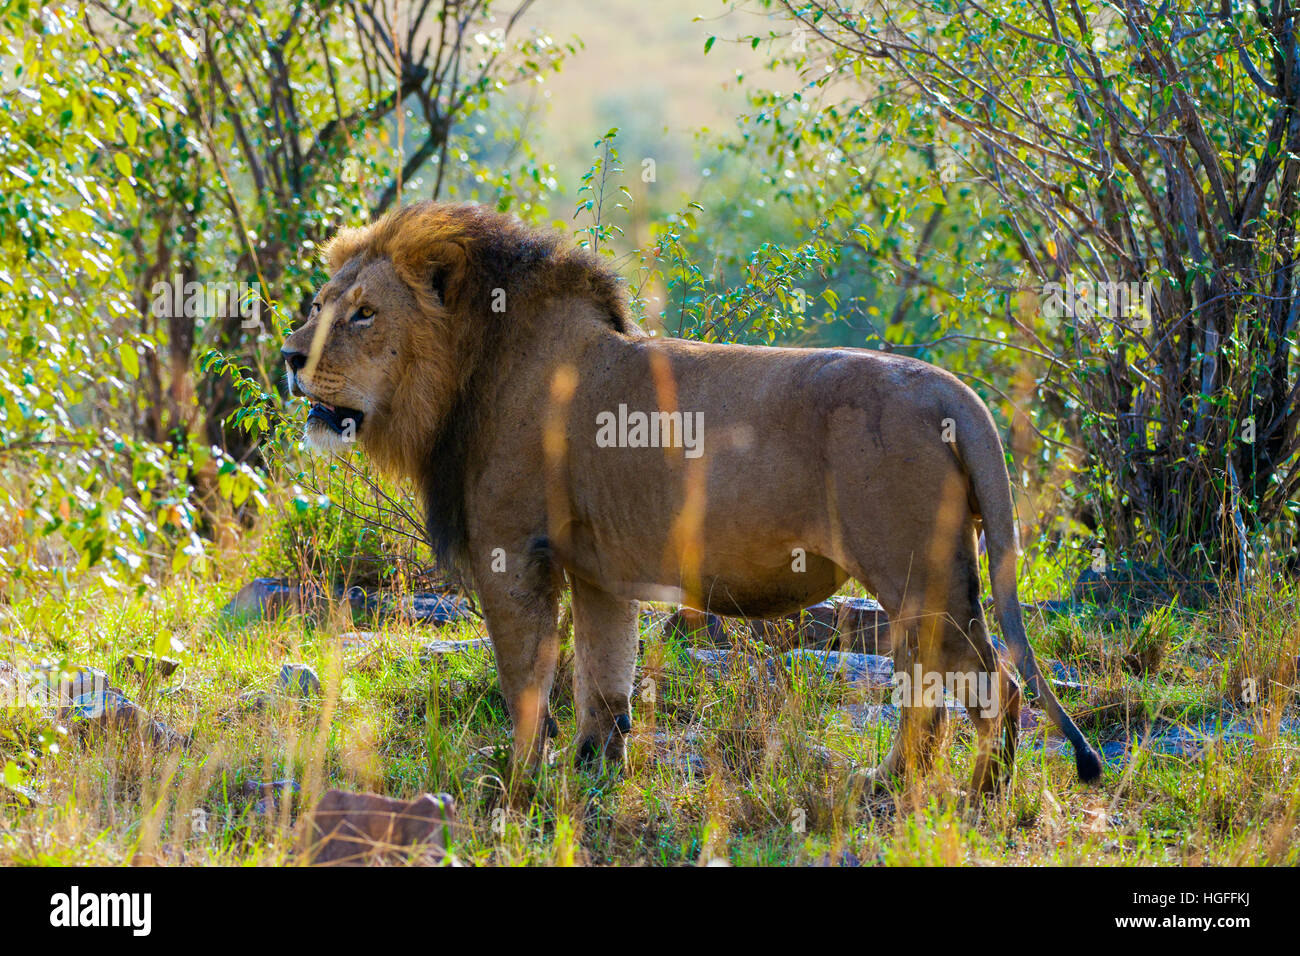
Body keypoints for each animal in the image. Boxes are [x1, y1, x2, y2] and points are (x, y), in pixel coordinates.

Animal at [281, 200, 1103, 793]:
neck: (467, 373)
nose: (289, 356)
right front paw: (591, 771)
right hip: (936, 577)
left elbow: (527, 682)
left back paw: (962, 792)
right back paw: (908, 782)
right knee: (943, 685)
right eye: (320, 303)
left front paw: (515, 782)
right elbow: (603, 681)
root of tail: (952, 392)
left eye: (363, 313)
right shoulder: (597, 572)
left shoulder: (512, 552)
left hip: (915, 574)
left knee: (986, 684)